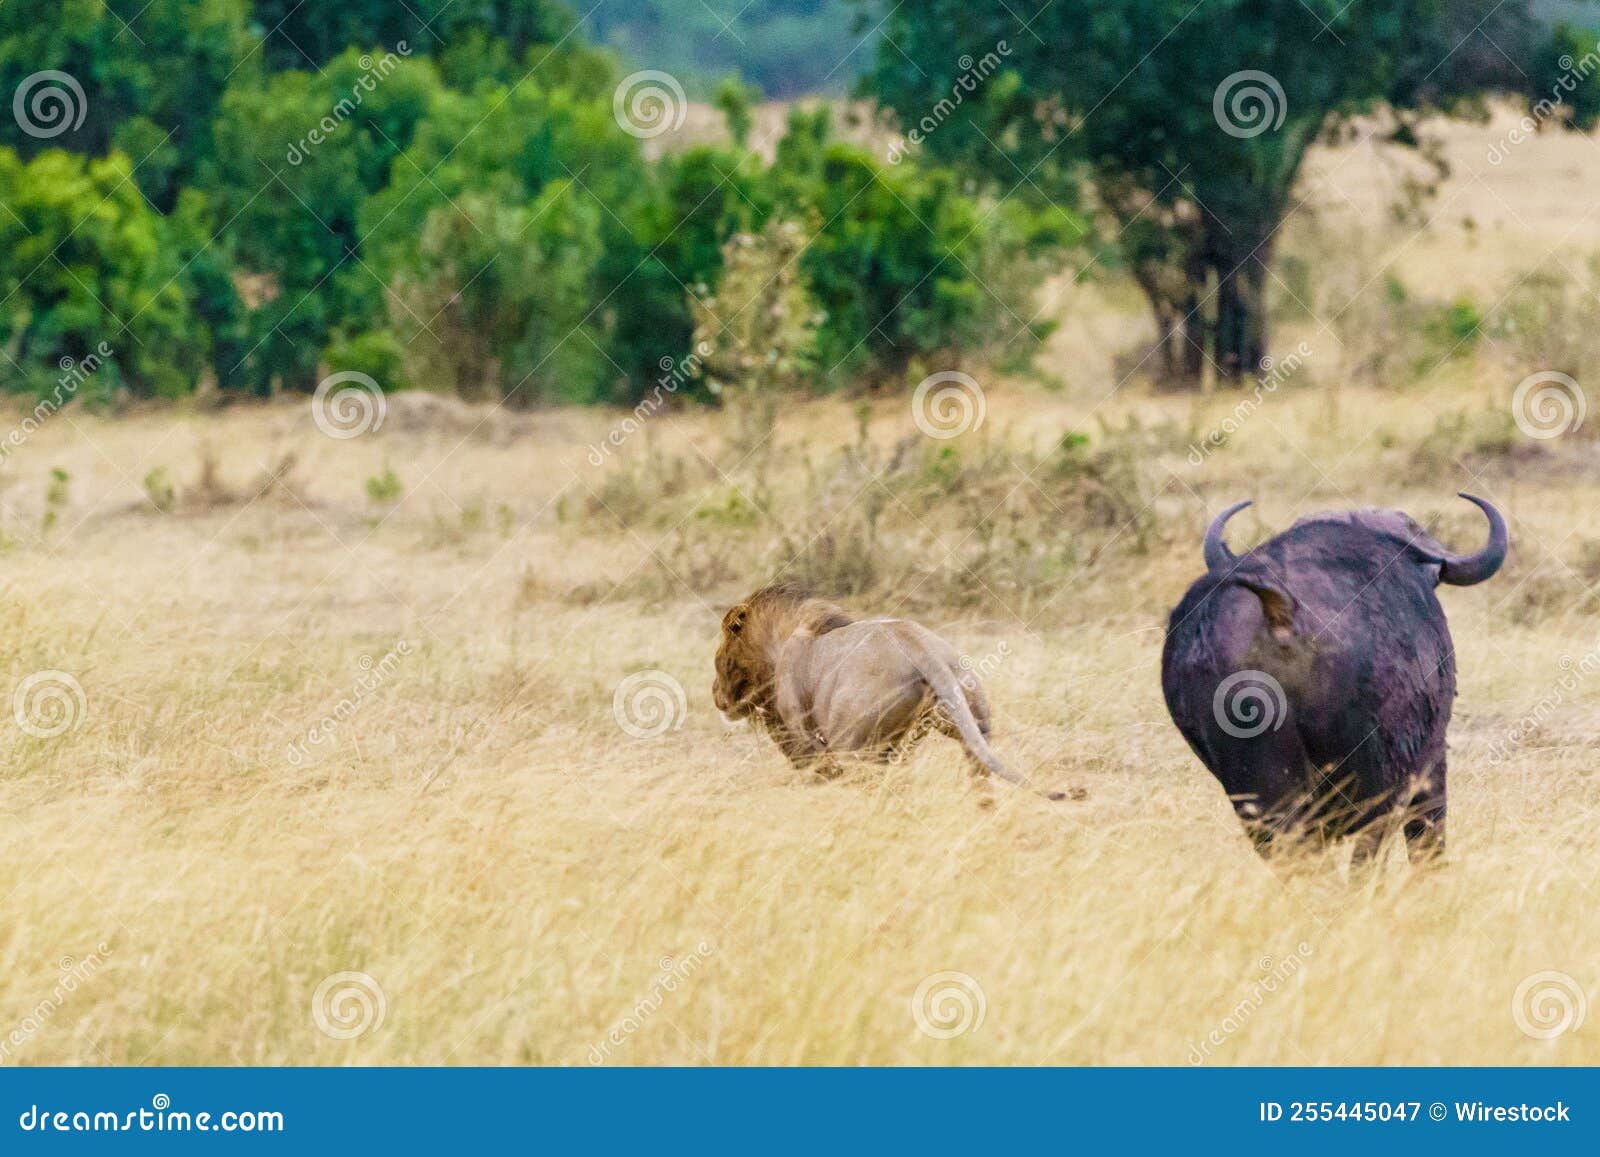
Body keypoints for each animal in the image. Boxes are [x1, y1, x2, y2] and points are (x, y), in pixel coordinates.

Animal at [713, 583, 1061, 798]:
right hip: (970, 719)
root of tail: (922, 649)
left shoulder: (803, 734)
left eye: (719, 661)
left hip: (852, 742)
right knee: (980, 774)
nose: (716, 696)